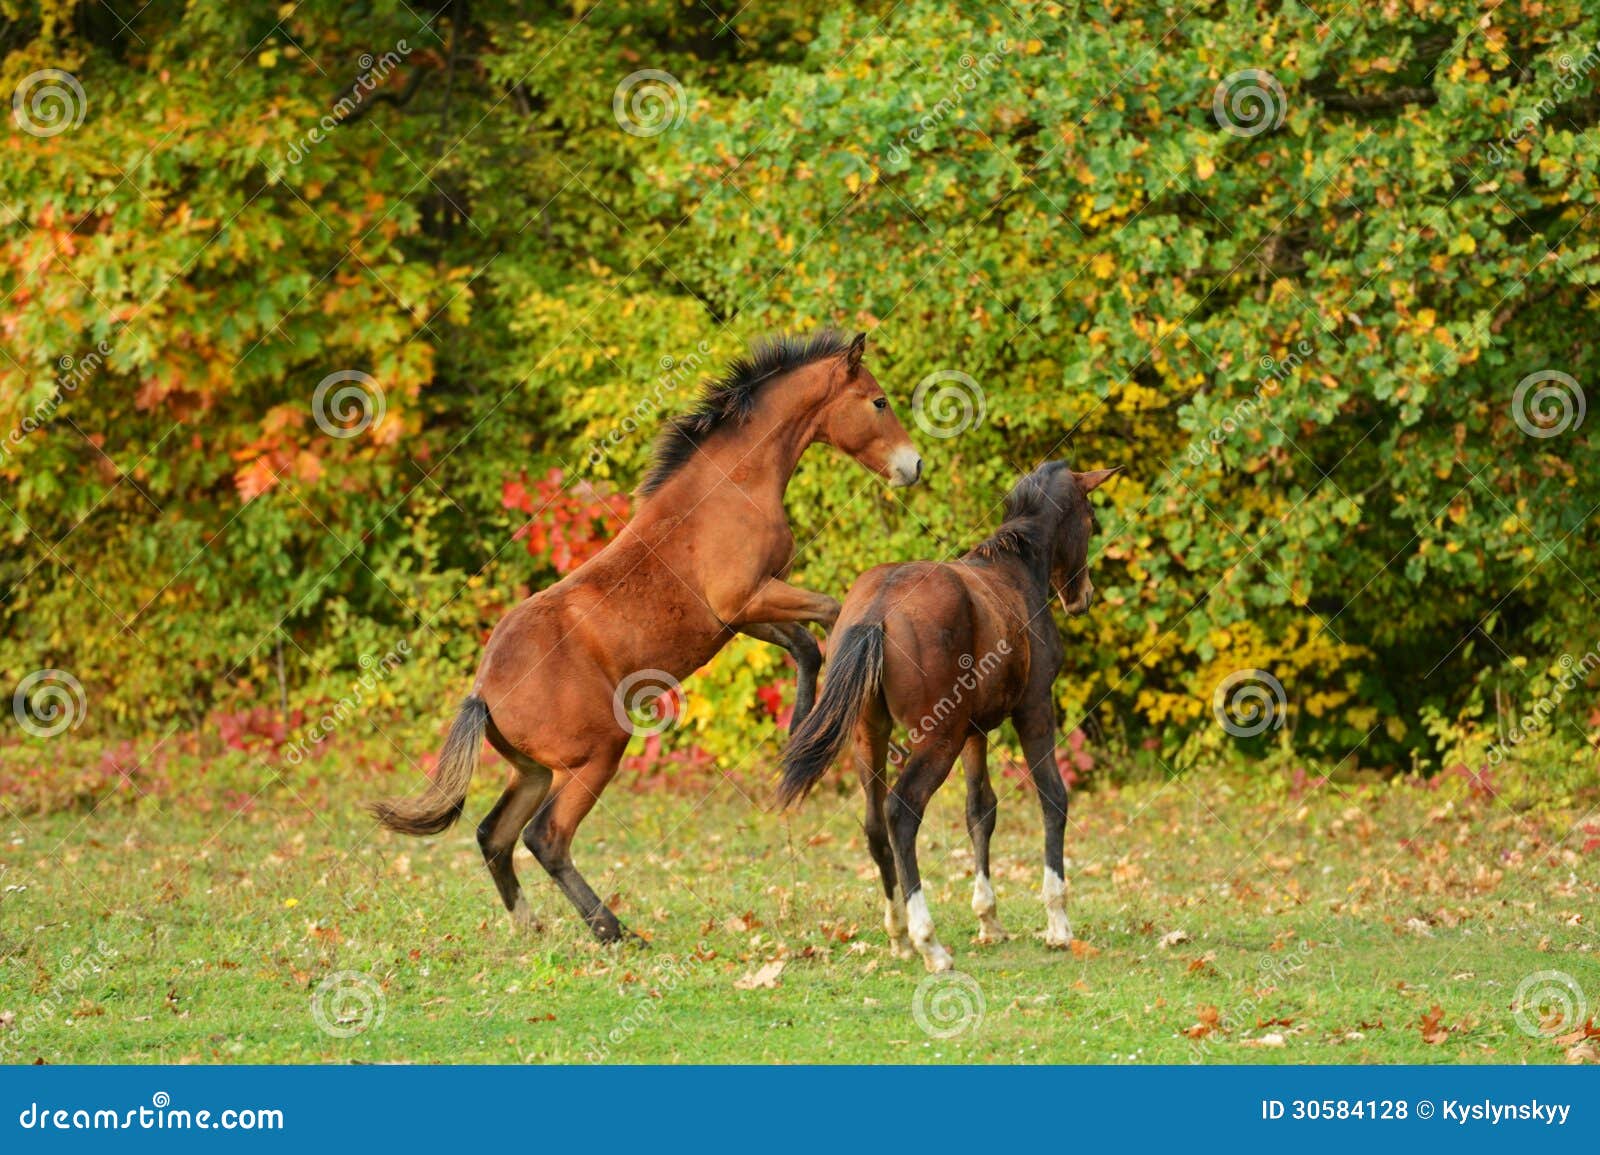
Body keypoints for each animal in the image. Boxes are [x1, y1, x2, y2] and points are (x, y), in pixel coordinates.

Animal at [370, 331, 923, 942]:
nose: (914, 465)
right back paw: (615, 932)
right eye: (878, 401)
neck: (731, 487)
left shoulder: (739, 618)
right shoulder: (750, 598)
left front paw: (803, 732)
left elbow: (805, 644)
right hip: (597, 755)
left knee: (494, 834)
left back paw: (531, 926)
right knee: (545, 836)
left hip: (534, 772)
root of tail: (482, 692)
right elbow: (829, 614)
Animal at [776, 459, 1120, 972]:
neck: (1013, 571)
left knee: (875, 822)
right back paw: (928, 943)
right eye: (1091, 518)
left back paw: (898, 935)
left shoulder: (976, 731)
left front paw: (989, 920)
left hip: (871, 735)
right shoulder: (1035, 708)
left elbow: (980, 810)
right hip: (939, 736)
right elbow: (1053, 797)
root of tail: (878, 609)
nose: (1083, 597)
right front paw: (1058, 924)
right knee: (901, 813)